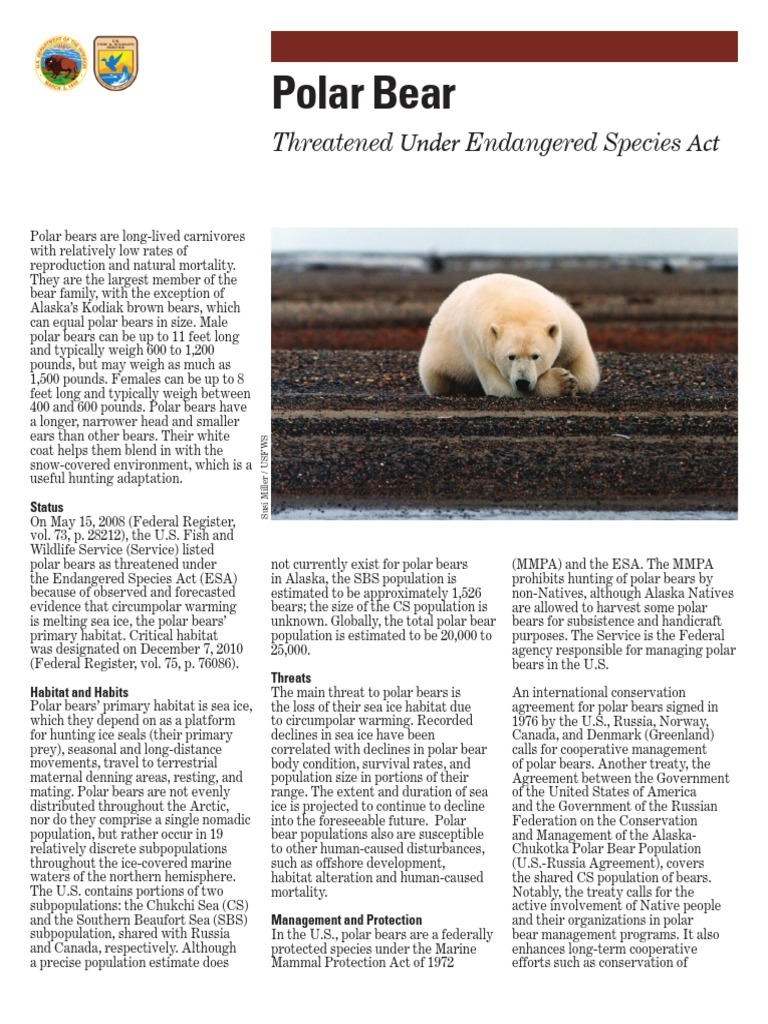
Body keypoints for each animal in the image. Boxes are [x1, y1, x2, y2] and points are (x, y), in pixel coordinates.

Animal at [418, 273, 600, 398]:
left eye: (535, 356)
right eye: (511, 356)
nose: (522, 382)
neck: (518, 305)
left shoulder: (567, 326)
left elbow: (585, 371)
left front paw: (573, 380)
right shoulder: (479, 346)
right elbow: (499, 386)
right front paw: (564, 382)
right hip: (438, 365)